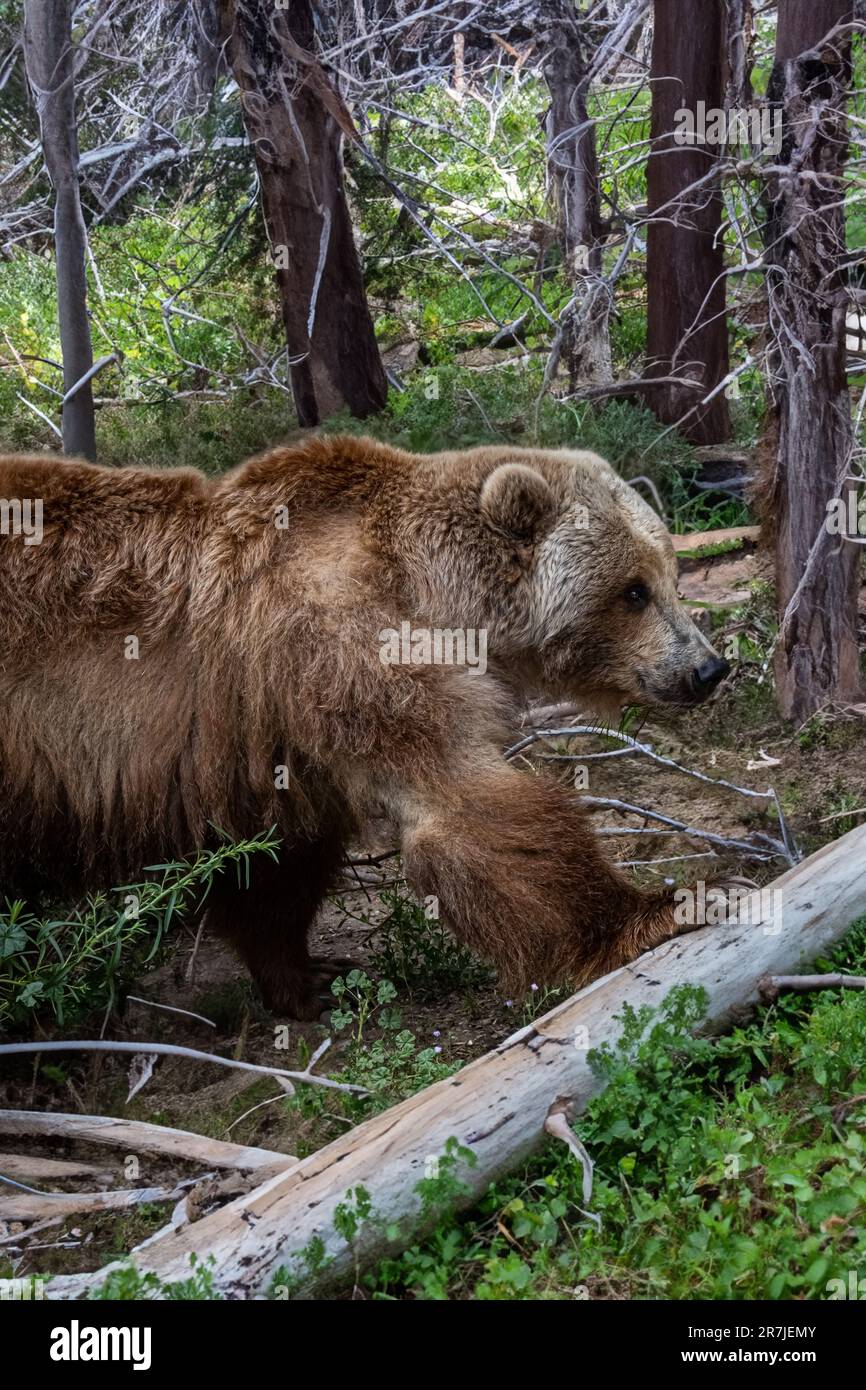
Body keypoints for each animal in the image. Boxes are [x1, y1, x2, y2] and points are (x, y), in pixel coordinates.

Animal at [0, 434, 729, 1018]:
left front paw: (310, 977)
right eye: (633, 590)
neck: (438, 598)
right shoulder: (348, 650)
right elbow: (469, 808)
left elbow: (276, 867)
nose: (707, 668)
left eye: (672, 574)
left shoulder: (275, 733)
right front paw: (657, 912)